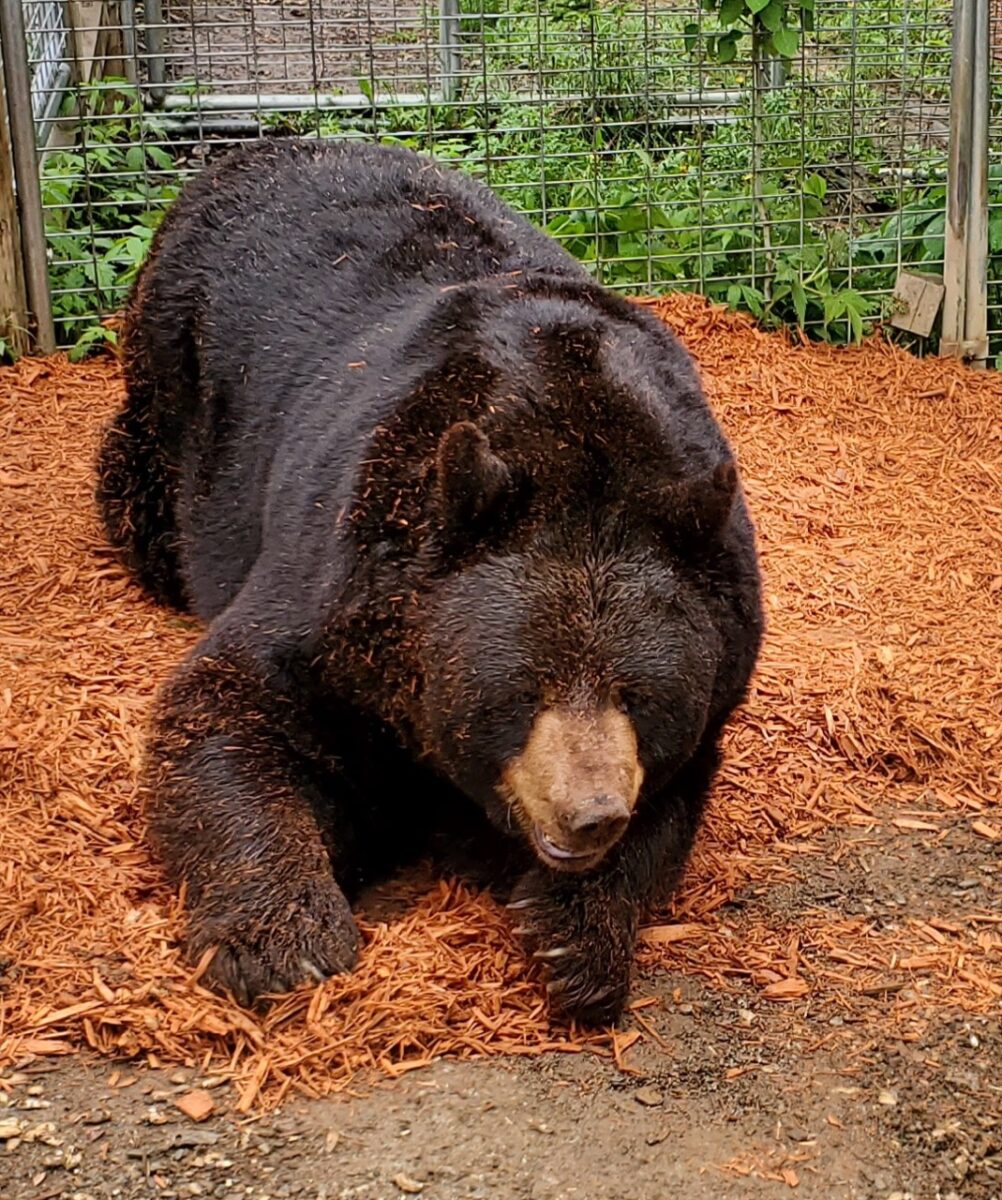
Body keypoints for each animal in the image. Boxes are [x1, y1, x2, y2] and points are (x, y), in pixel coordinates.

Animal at [96, 138, 763, 1025]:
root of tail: (249, 152)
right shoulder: (342, 576)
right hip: (170, 414)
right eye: (525, 689)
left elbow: (674, 796)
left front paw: (574, 937)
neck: (571, 422)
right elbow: (225, 706)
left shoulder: (718, 636)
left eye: (638, 695)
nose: (590, 815)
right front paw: (281, 938)